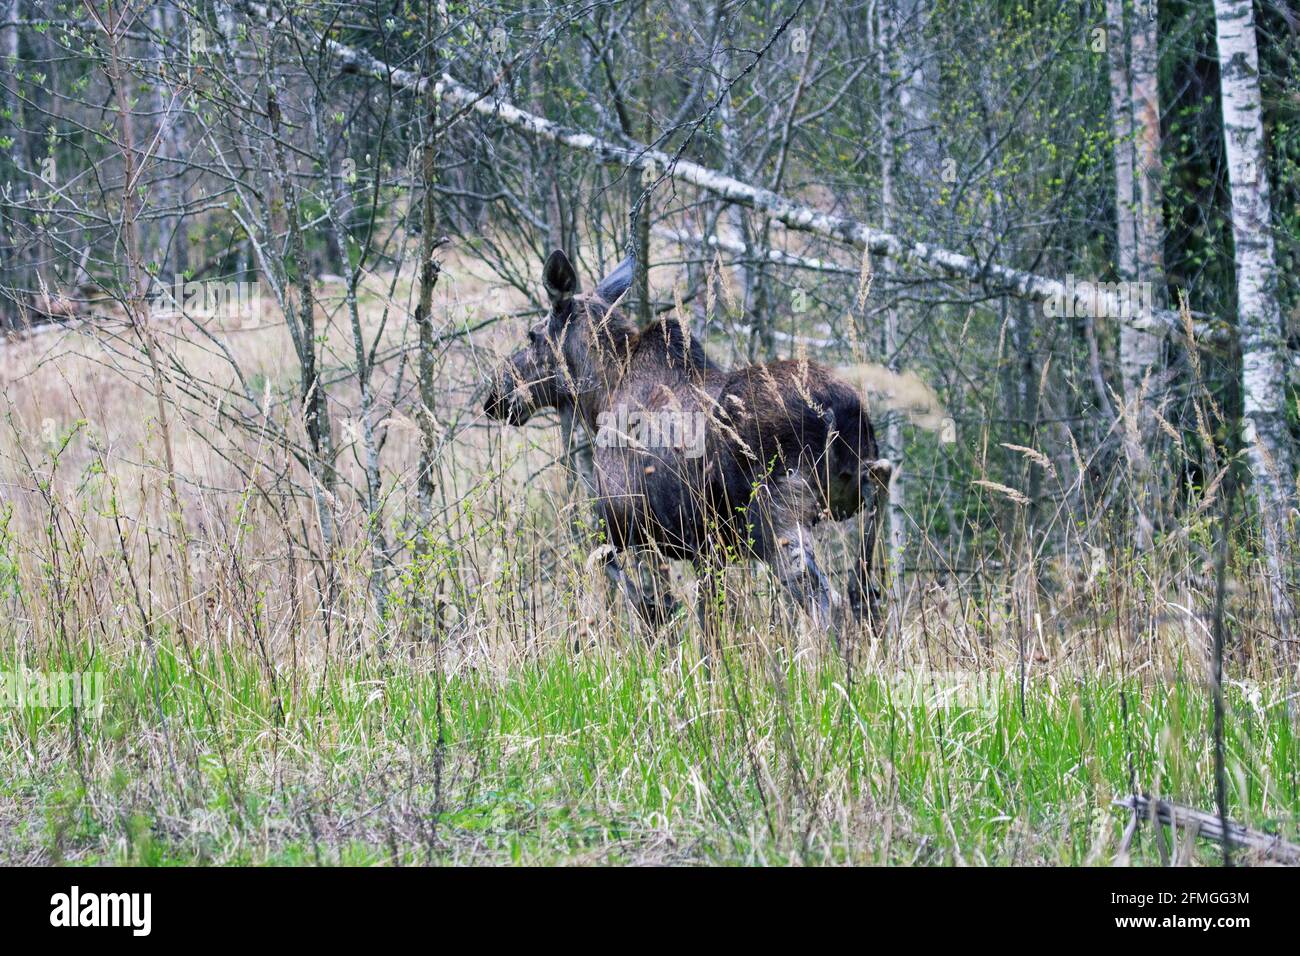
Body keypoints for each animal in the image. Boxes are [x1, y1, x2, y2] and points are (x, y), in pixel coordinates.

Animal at [483, 249, 893, 650]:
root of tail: (843, 412)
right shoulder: (706, 549)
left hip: (775, 515)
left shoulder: (632, 524)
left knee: (825, 600)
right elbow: (710, 620)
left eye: (532, 335)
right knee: (866, 572)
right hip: (853, 493)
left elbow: (639, 591)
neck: (599, 399)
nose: (496, 393)